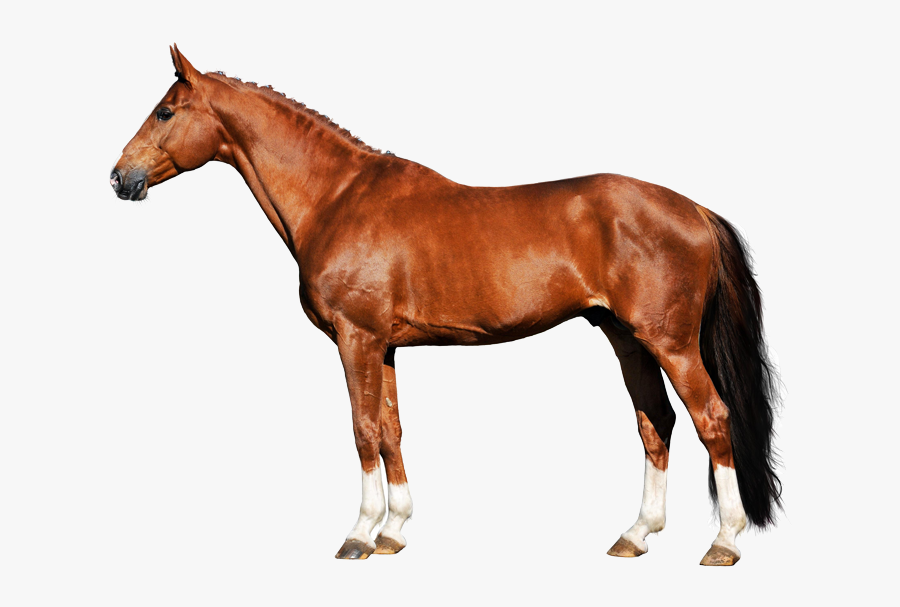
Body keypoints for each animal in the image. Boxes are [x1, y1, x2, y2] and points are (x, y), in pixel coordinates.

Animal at [110, 45, 781, 565]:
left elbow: (362, 429)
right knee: (655, 424)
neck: (338, 197)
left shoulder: (356, 338)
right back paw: (635, 536)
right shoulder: (382, 345)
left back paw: (723, 543)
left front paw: (359, 534)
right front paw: (394, 531)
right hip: (626, 338)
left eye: (165, 110)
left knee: (711, 419)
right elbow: (391, 429)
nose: (120, 177)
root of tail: (694, 209)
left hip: (669, 342)